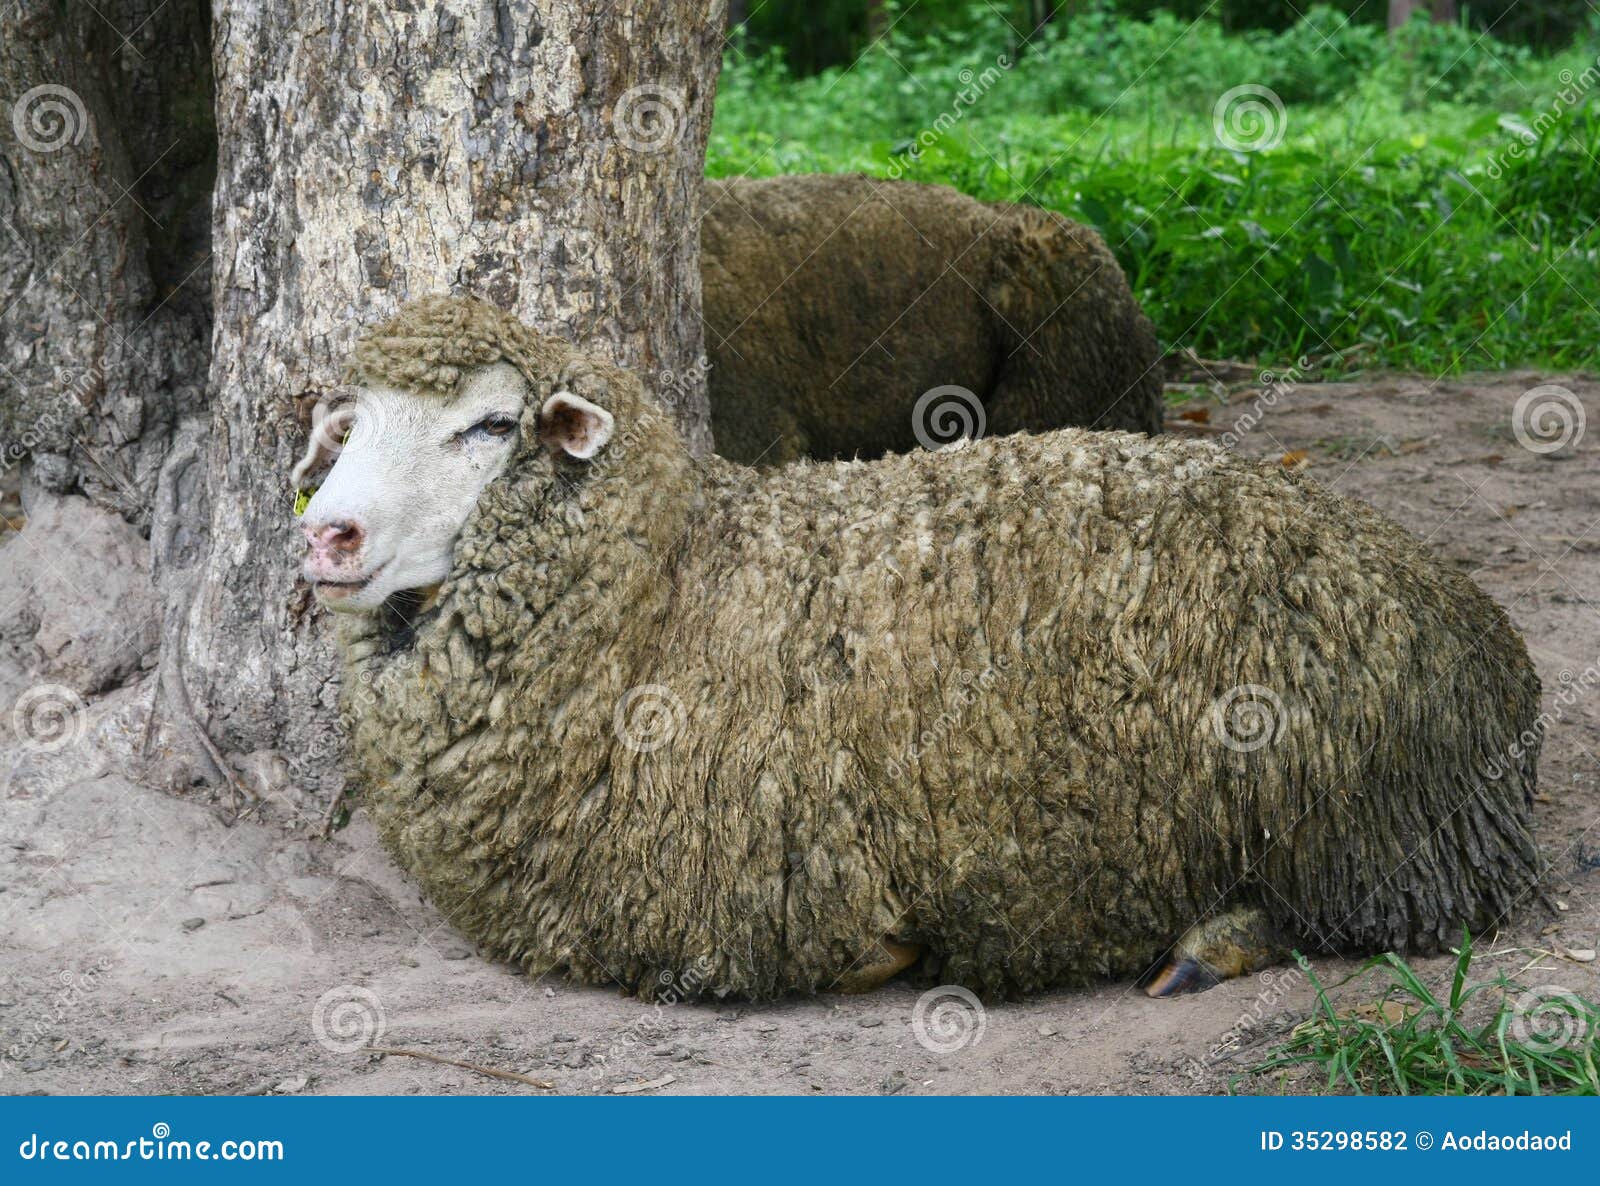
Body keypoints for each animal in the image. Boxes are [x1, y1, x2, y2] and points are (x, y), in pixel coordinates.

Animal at [295, 295, 1540, 1001]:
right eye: (346, 427)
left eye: (490, 425)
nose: (326, 533)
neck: (666, 594)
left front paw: (889, 953)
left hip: (1349, 824)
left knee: (1342, 916)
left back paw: (1204, 943)